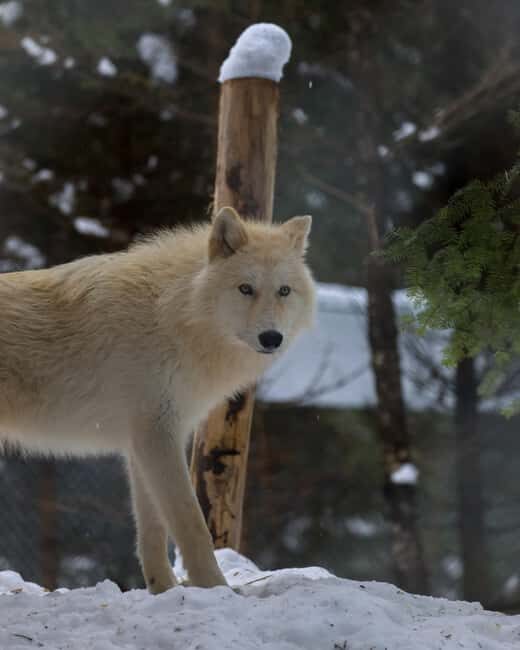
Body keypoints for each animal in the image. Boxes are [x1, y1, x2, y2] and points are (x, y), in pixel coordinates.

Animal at [0, 206, 315, 592]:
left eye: (284, 291)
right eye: (246, 288)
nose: (272, 338)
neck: (174, 314)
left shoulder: (144, 442)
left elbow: (152, 531)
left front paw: (164, 590)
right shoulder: (157, 436)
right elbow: (192, 524)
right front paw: (216, 589)